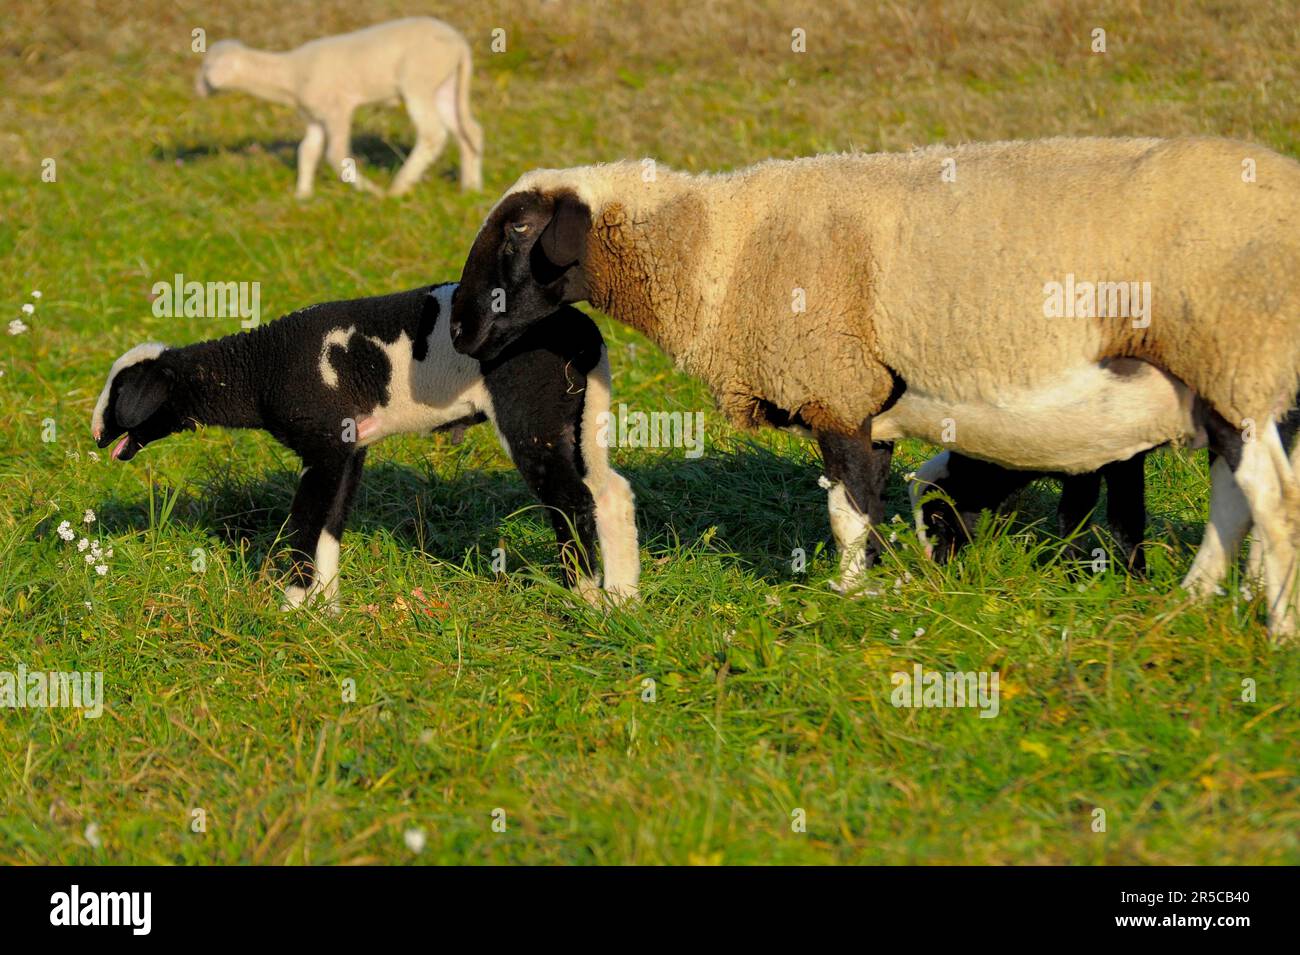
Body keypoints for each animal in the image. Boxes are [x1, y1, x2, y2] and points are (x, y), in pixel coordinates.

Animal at [90, 284, 638, 610]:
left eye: (121, 393)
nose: (96, 435)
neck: (259, 368)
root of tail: (584, 333)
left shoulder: (323, 445)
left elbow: (304, 523)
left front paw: (292, 603)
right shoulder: (349, 448)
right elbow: (331, 524)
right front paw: (326, 607)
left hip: (531, 412)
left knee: (569, 499)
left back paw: (584, 595)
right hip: (580, 414)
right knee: (608, 491)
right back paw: (622, 598)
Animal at [195, 17, 484, 198]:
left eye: (207, 67)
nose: (198, 89)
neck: (290, 74)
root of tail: (459, 43)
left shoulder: (337, 109)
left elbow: (336, 155)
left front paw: (370, 191)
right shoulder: (315, 118)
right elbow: (307, 152)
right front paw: (302, 194)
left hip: (419, 80)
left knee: (433, 133)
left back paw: (398, 187)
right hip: (445, 84)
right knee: (469, 130)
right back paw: (471, 187)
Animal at [447, 137, 1300, 637]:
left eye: (518, 229)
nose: (457, 331)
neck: (719, 247)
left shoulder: (836, 386)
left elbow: (846, 508)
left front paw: (848, 594)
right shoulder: (869, 404)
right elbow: (868, 500)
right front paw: (884, 581)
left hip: (1234, 354)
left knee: (1273, 501)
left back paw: (1275, 626)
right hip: (1229, 384)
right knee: (1237, 498)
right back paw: (1201, 597)